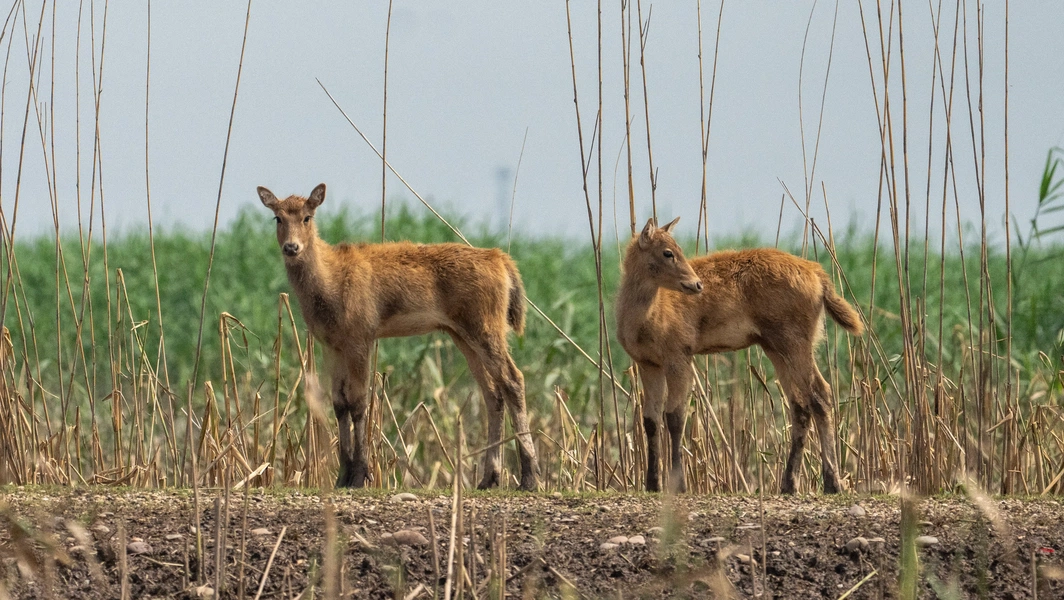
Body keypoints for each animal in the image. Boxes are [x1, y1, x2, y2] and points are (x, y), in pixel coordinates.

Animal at [258, 183, 540, 491]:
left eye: (308, 216)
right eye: (278, 218)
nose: (291, 247)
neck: (329, 285)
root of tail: (502, 260)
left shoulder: (361, 336)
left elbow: (359, 401)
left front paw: (360, 475)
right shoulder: (331, 344)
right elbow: (339, 403)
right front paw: (342, 476)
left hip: (486, 326)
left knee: (513, 380)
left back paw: (529, 477)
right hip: (462, 334)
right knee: (493, 393)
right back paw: (489, 478)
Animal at [616, 217, 864, 494]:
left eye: (678, 249)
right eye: (667, 252)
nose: (696, 284)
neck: (645, 320)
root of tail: (818, 274)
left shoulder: (679, 354)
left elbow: (676, 416)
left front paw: (679, 484)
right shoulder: (648, 363)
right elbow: (650, 419)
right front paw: (652, 483)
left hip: (795, 340)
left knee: (821, 393)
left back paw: (832, 483)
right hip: (775, 345)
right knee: (800, 404)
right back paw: (789, 483)